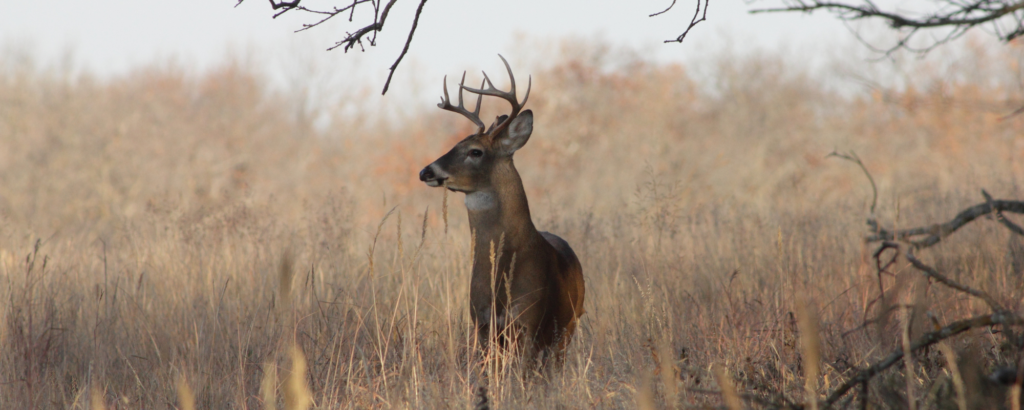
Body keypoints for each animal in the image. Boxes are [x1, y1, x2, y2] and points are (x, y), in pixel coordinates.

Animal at [419, 55, 586, 368]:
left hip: (568, 327)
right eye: (455, 144)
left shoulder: (529, 320)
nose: (426, 171)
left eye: (475, 151)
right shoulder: (482, 323)